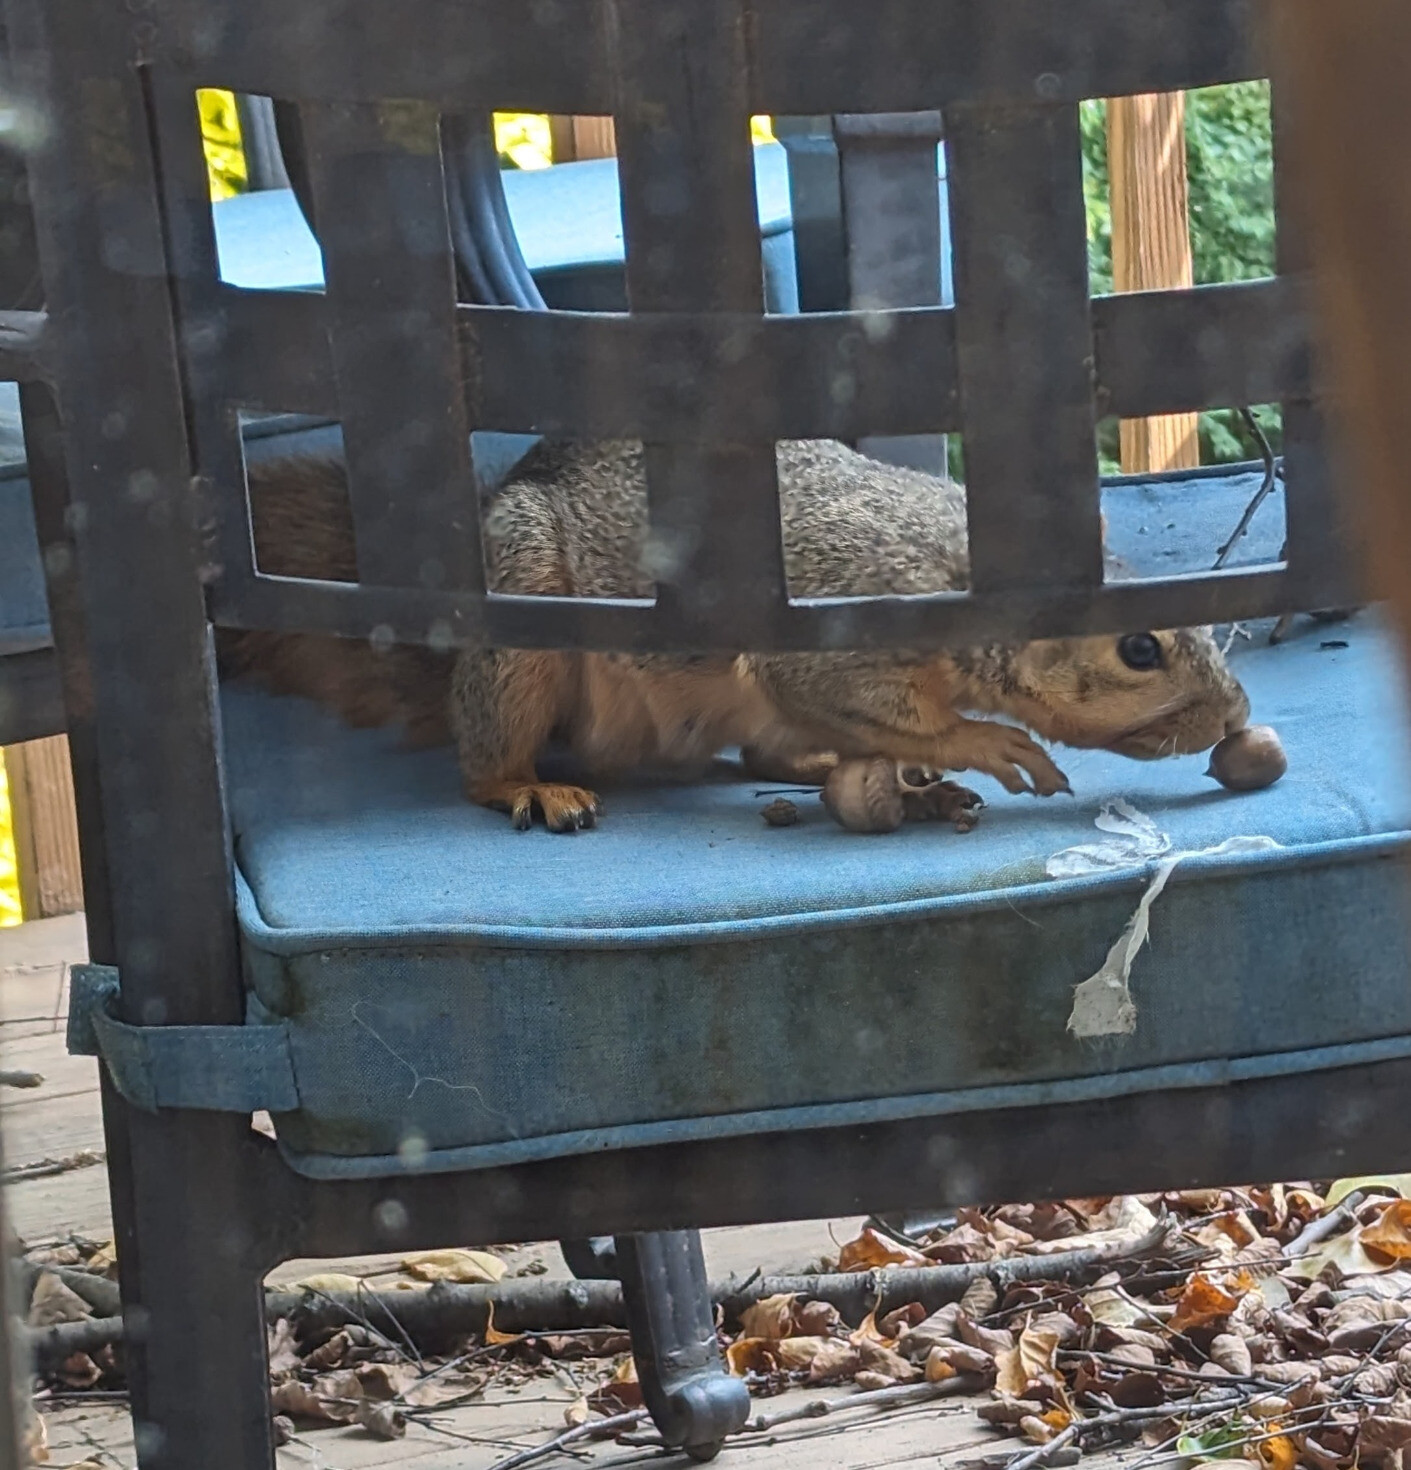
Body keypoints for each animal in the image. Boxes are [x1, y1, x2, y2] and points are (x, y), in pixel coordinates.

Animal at [220, 438, 1258, 829]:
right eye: (1137, 649)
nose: (1233, 714)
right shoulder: (838, 623)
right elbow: (886, 703)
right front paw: (989, 742)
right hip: (525, 625)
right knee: (484, 760)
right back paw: (529, 786)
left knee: (757, 750)